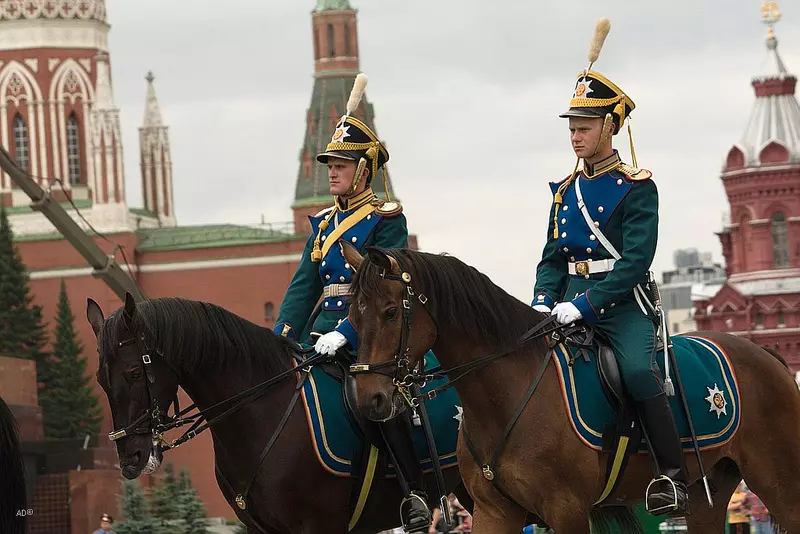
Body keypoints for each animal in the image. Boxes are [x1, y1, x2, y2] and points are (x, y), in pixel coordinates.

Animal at [342, 246, 800, 534]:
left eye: (389, 312)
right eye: (351, 316)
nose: (369, 399)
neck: (505, 394)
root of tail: (765, 354)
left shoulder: (567, 511)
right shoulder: (495, 512)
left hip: (778, 481)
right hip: (709, 495)